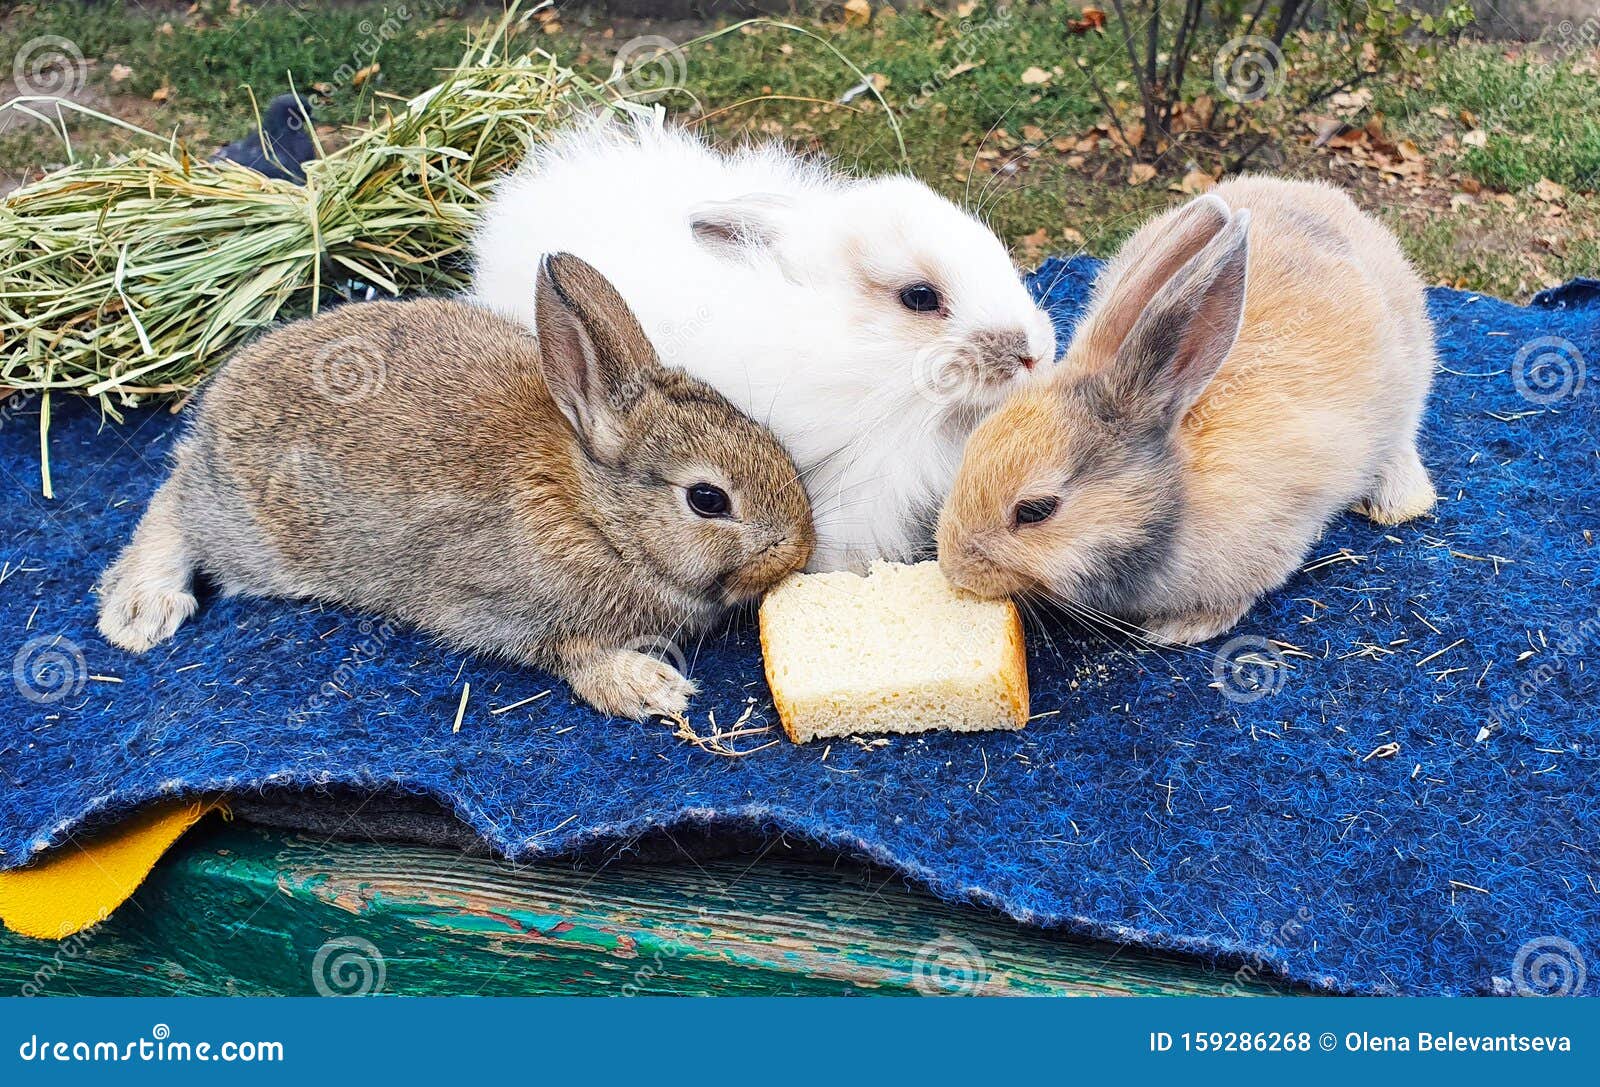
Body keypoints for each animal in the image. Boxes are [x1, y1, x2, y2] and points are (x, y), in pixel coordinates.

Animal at [96, 253, 815, 720]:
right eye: (707, 499)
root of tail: (215, 412)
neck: (592, 512)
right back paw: (140, 610)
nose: (800, 550)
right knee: (173, 503)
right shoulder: (501, 608)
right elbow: (566, 652)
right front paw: (649, 687)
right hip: (251, 534)